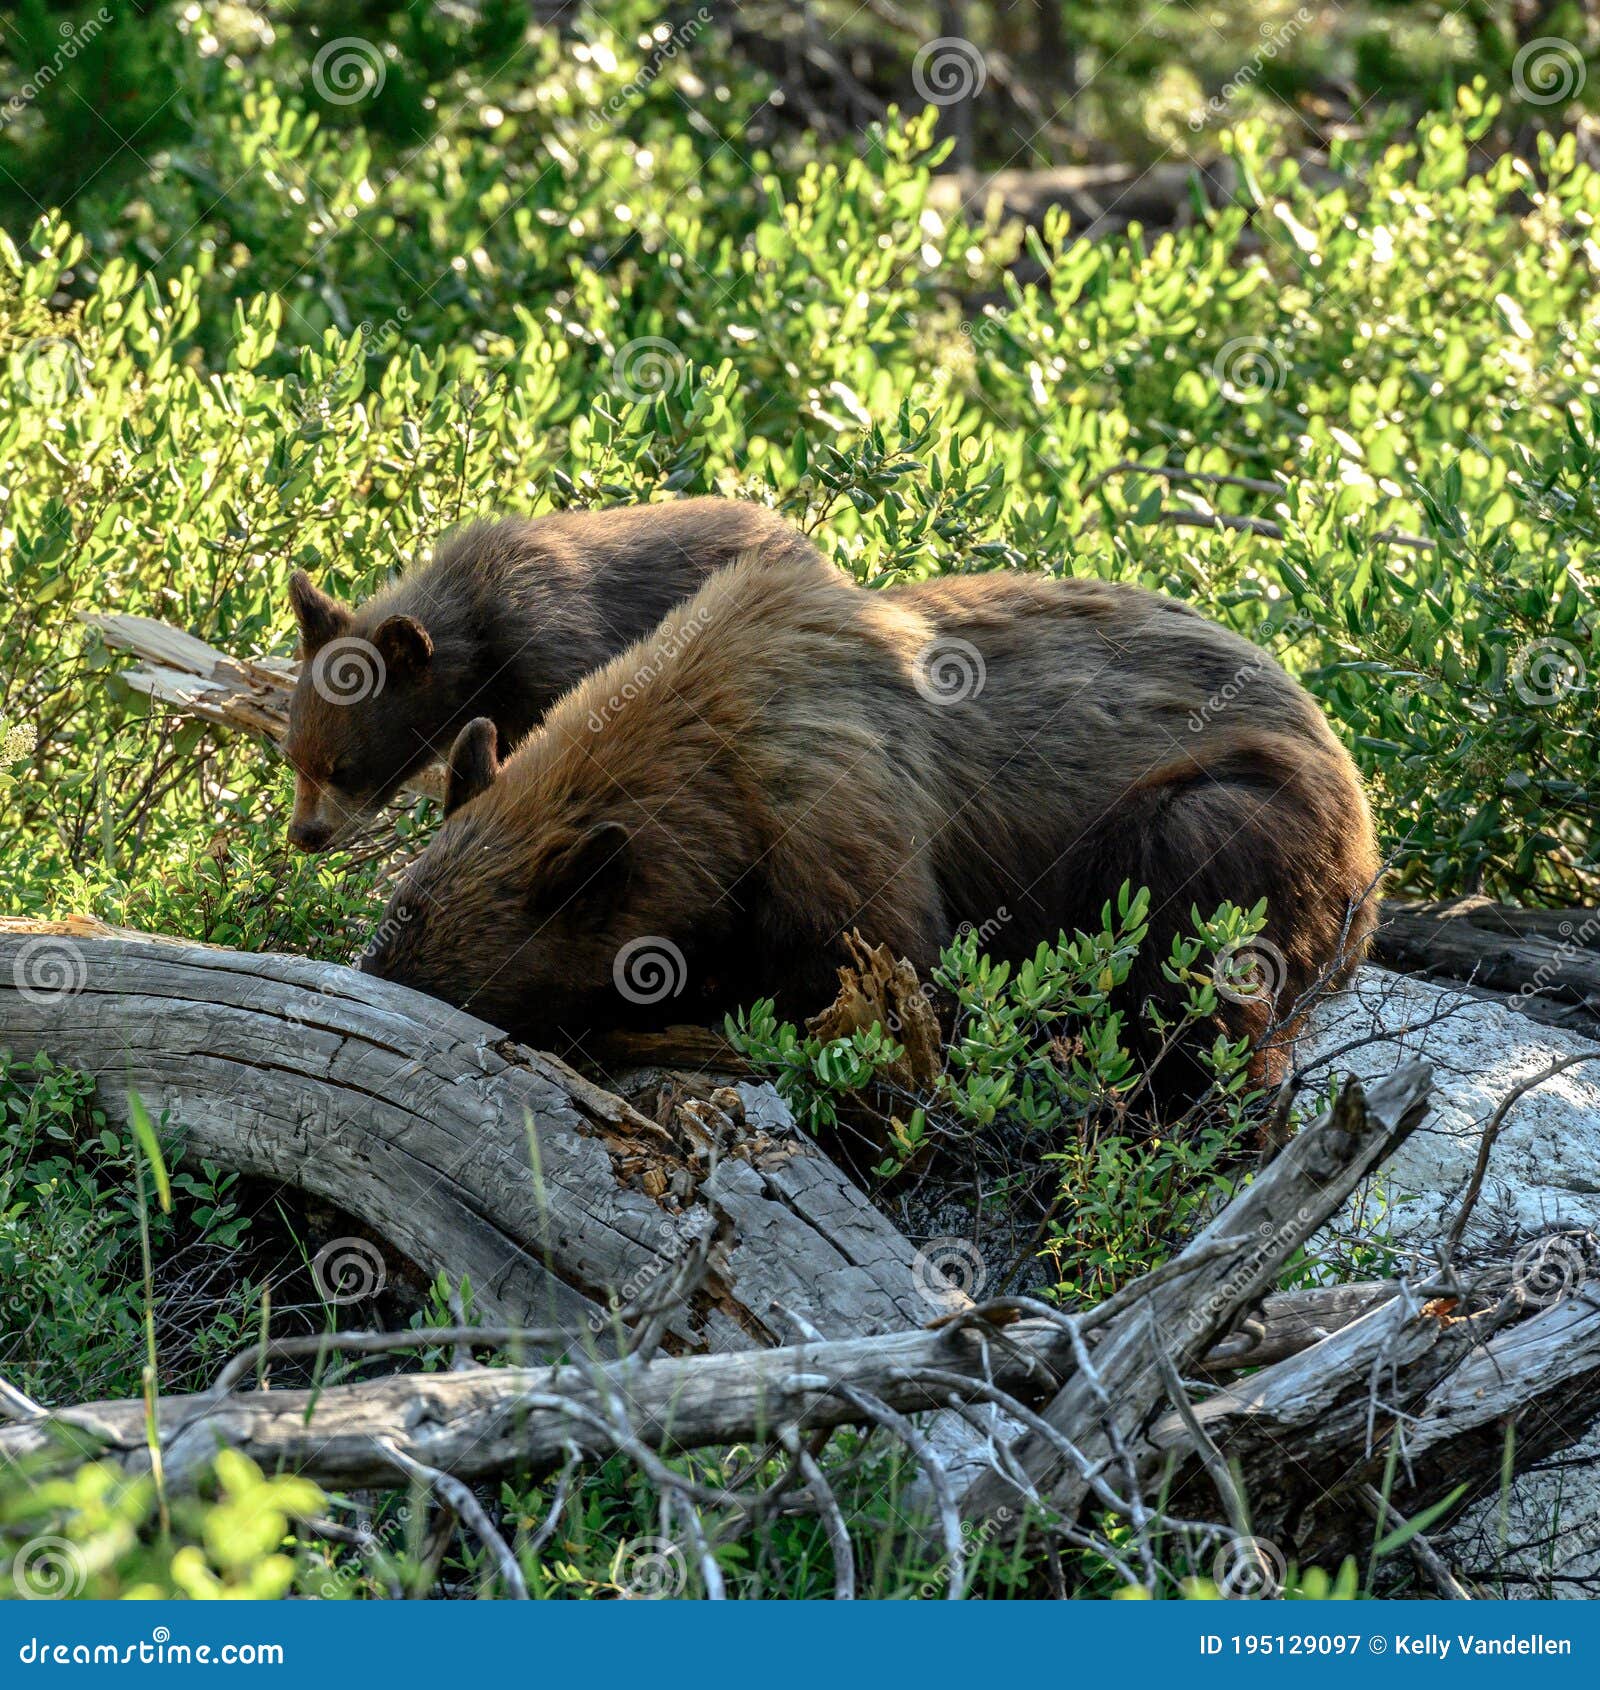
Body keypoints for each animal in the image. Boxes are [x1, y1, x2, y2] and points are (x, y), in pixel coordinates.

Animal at [359, 545, 1381, 1094]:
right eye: (389, 932)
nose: (368, 975)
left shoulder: (834, 808)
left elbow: (876, 970)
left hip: (1238, 813)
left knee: (1199, 950)